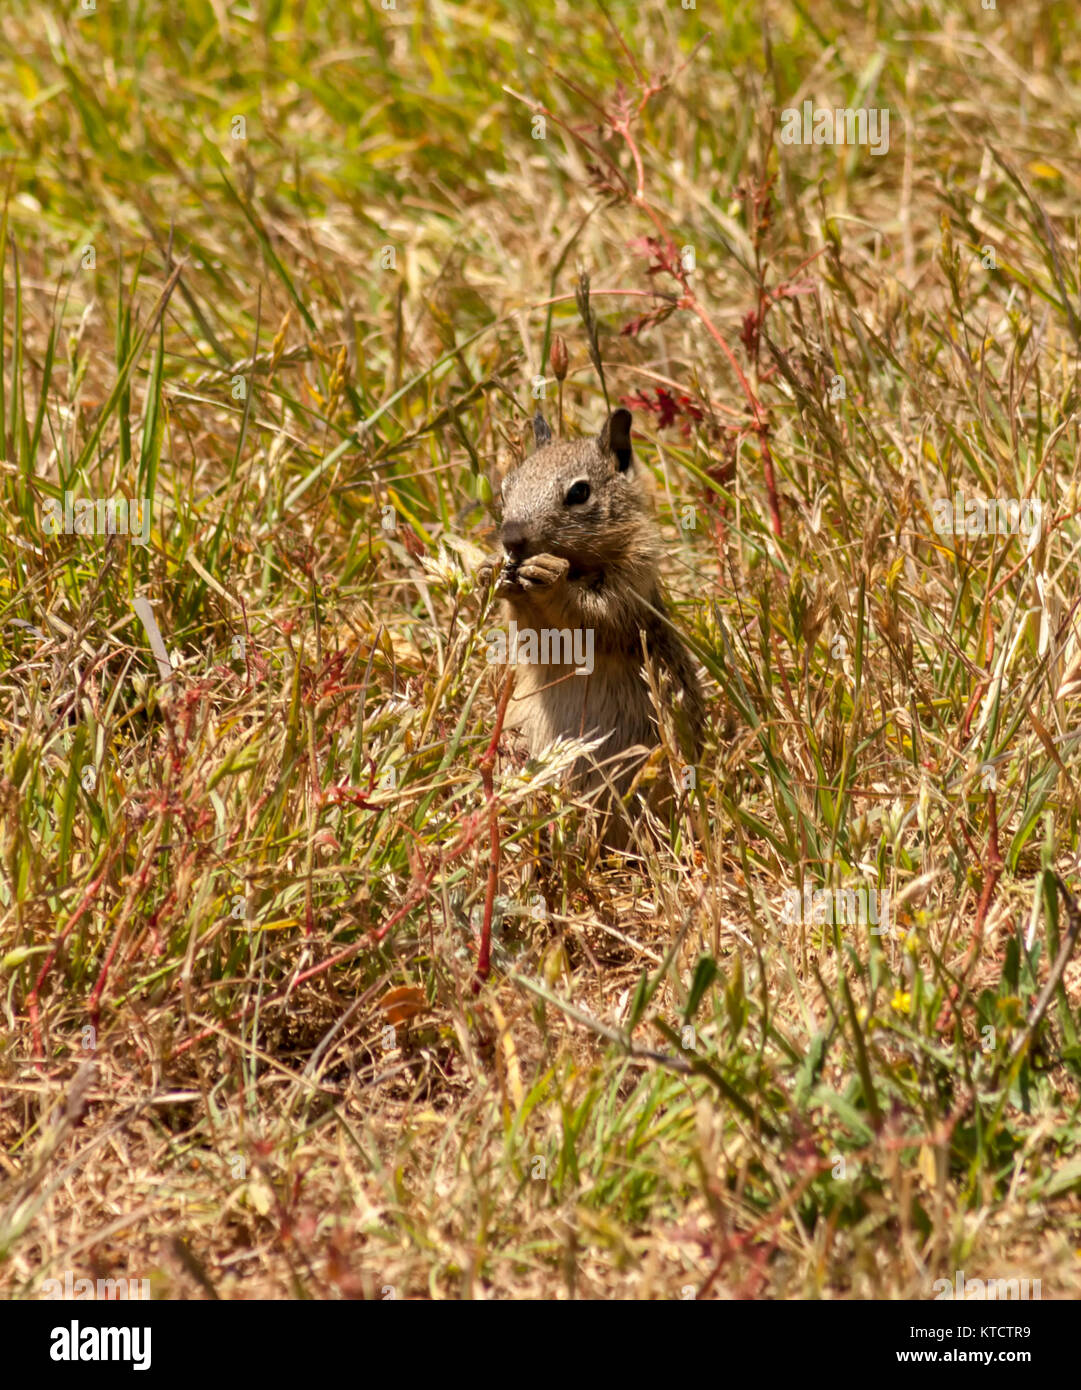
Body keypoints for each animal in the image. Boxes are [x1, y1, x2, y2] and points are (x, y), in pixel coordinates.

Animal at [482, 406, 706, 847]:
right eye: (507, 488)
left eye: (579, 492)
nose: (512, 538)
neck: (579, 566)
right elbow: (527, 629)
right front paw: (492, 574)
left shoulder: (628, 586)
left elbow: (590, 616)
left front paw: (549, 577)